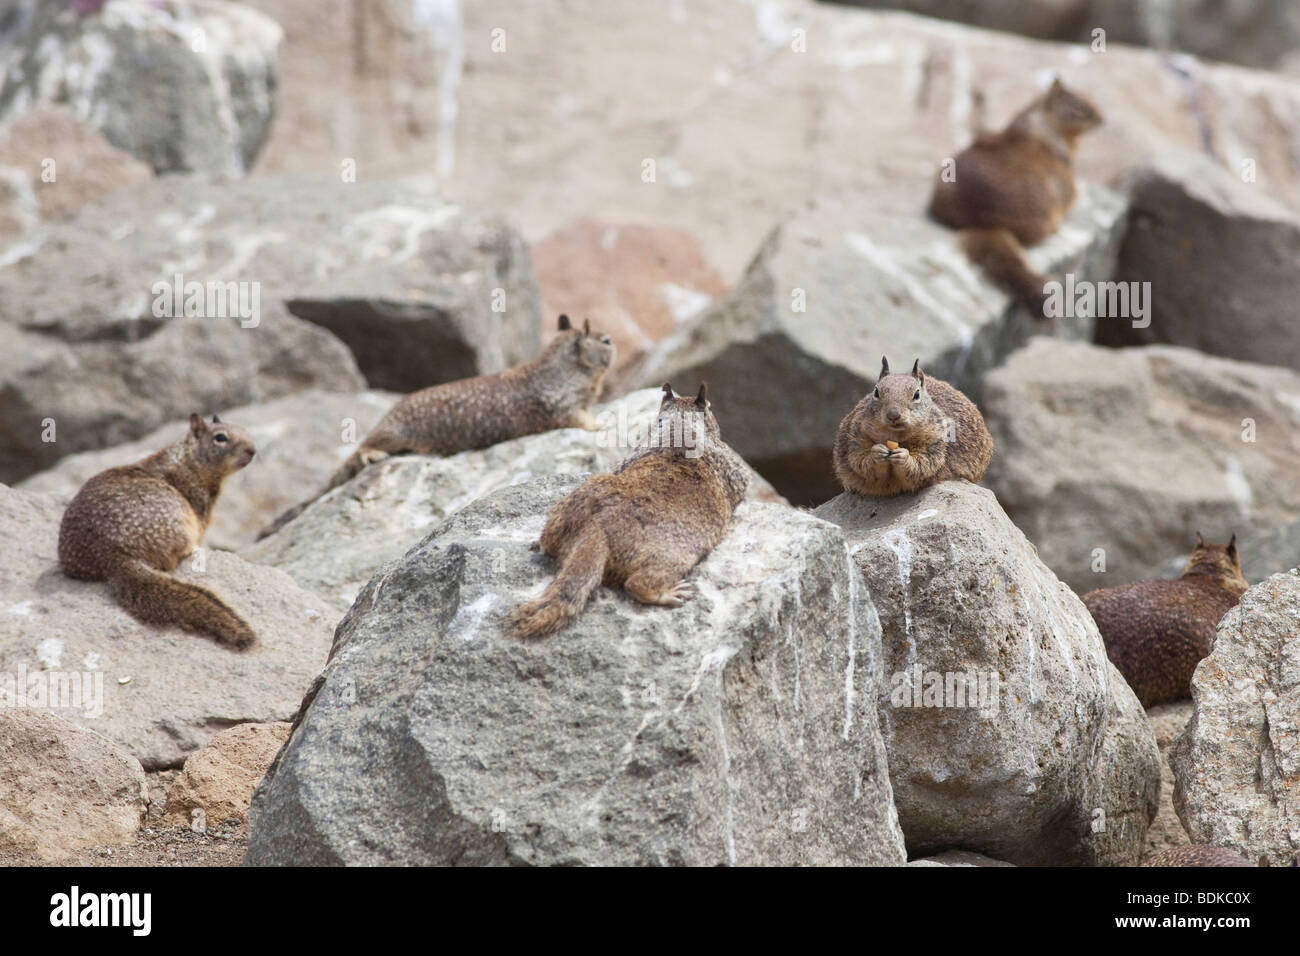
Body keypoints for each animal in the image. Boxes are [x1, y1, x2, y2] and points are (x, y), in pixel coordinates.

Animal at [257, 314, 615, 540]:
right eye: (607, 340)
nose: (616, 345)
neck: (561, 367)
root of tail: (385, 418)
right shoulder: (564, 406)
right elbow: (581, 420)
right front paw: (601, 423)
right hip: (393, 433)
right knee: (364, 446)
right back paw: (371, 454)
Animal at [509, 382, 749, 640]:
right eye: (711, 407)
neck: (678, 432)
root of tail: (596, 530)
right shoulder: (730, 463)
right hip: (672, 557)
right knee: (636, 584)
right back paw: (668, 594)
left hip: (568, 506)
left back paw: (539, 542)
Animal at [832, 356, 993, 497]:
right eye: (876, 392)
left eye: (916, 394)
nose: (893, 415)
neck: (896, 436)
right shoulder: (856, 435)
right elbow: (859, 461)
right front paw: (876, 452)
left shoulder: (934, 443)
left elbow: (923, 464)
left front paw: (904, 456)